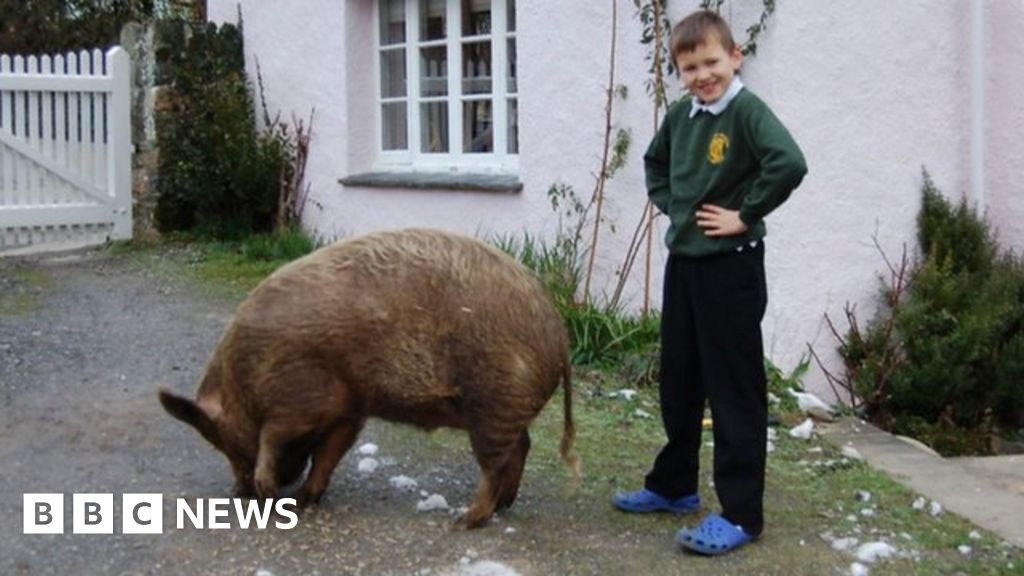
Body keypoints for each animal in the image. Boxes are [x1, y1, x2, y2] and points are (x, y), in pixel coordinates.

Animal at [158, 228, 578, 528]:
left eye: (220, 439)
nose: (237, 492)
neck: (244, 379)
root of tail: (558, 332)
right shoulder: (349, 409)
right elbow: (327, 456)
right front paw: (304, 500)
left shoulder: (296, 396)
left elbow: (273, 439)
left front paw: (271, 494)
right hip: (502, 406)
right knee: (521, 445)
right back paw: (504, 506)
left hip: (494, 401)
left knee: (495, 463)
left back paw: (465, 521)